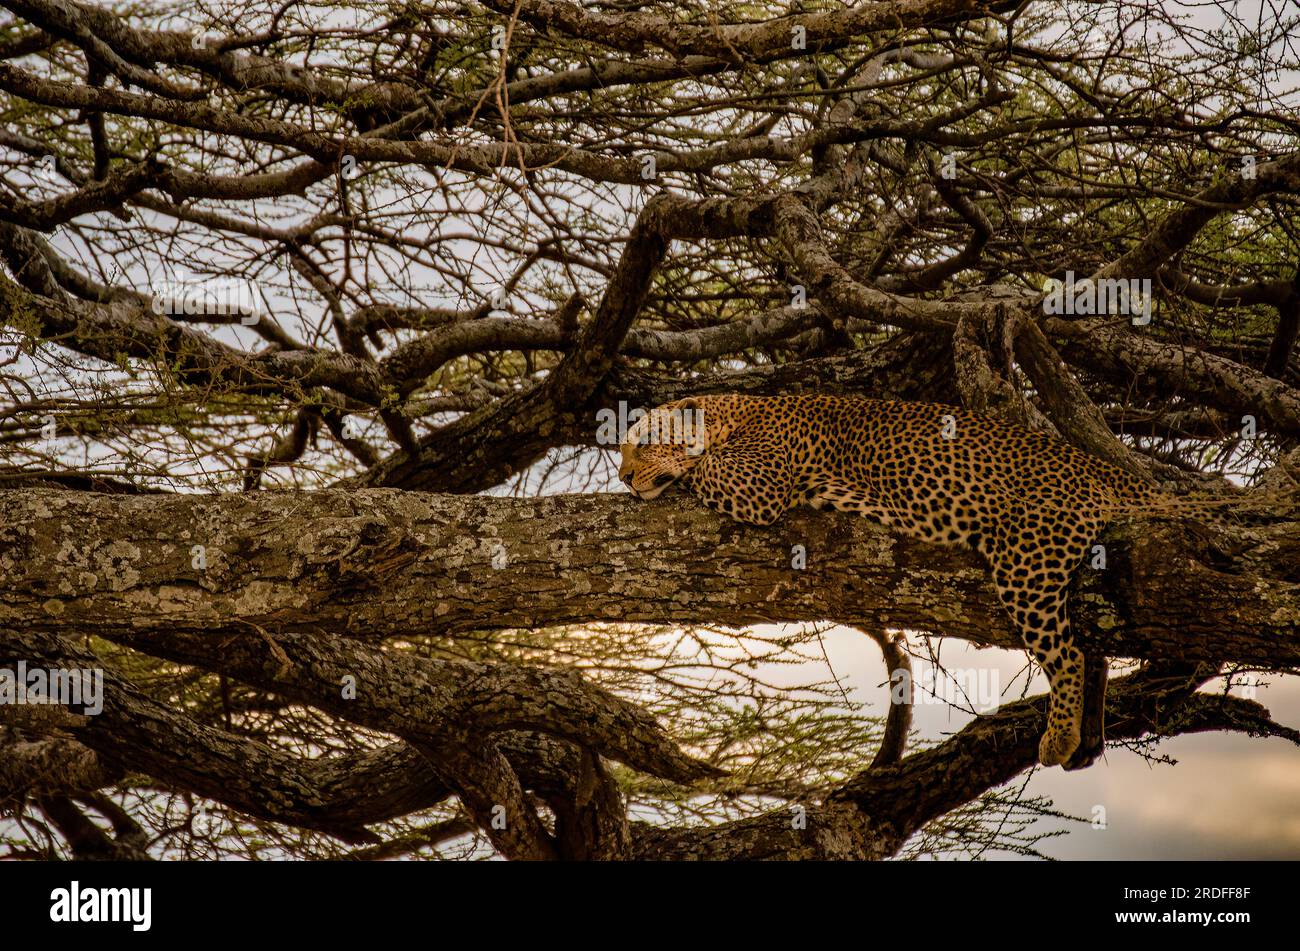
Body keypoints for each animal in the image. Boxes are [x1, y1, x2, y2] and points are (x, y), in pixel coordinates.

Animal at [617, 392, 1164, 769]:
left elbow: (699, 467)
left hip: (1028, 556)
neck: (732, 412)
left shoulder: (758, 483)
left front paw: (671, 472)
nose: (622, 477)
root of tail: (1105, 468)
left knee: (1068, 652)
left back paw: (1062, 737)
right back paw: (1088, 738)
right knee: (1090, 648)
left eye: (641, 443)